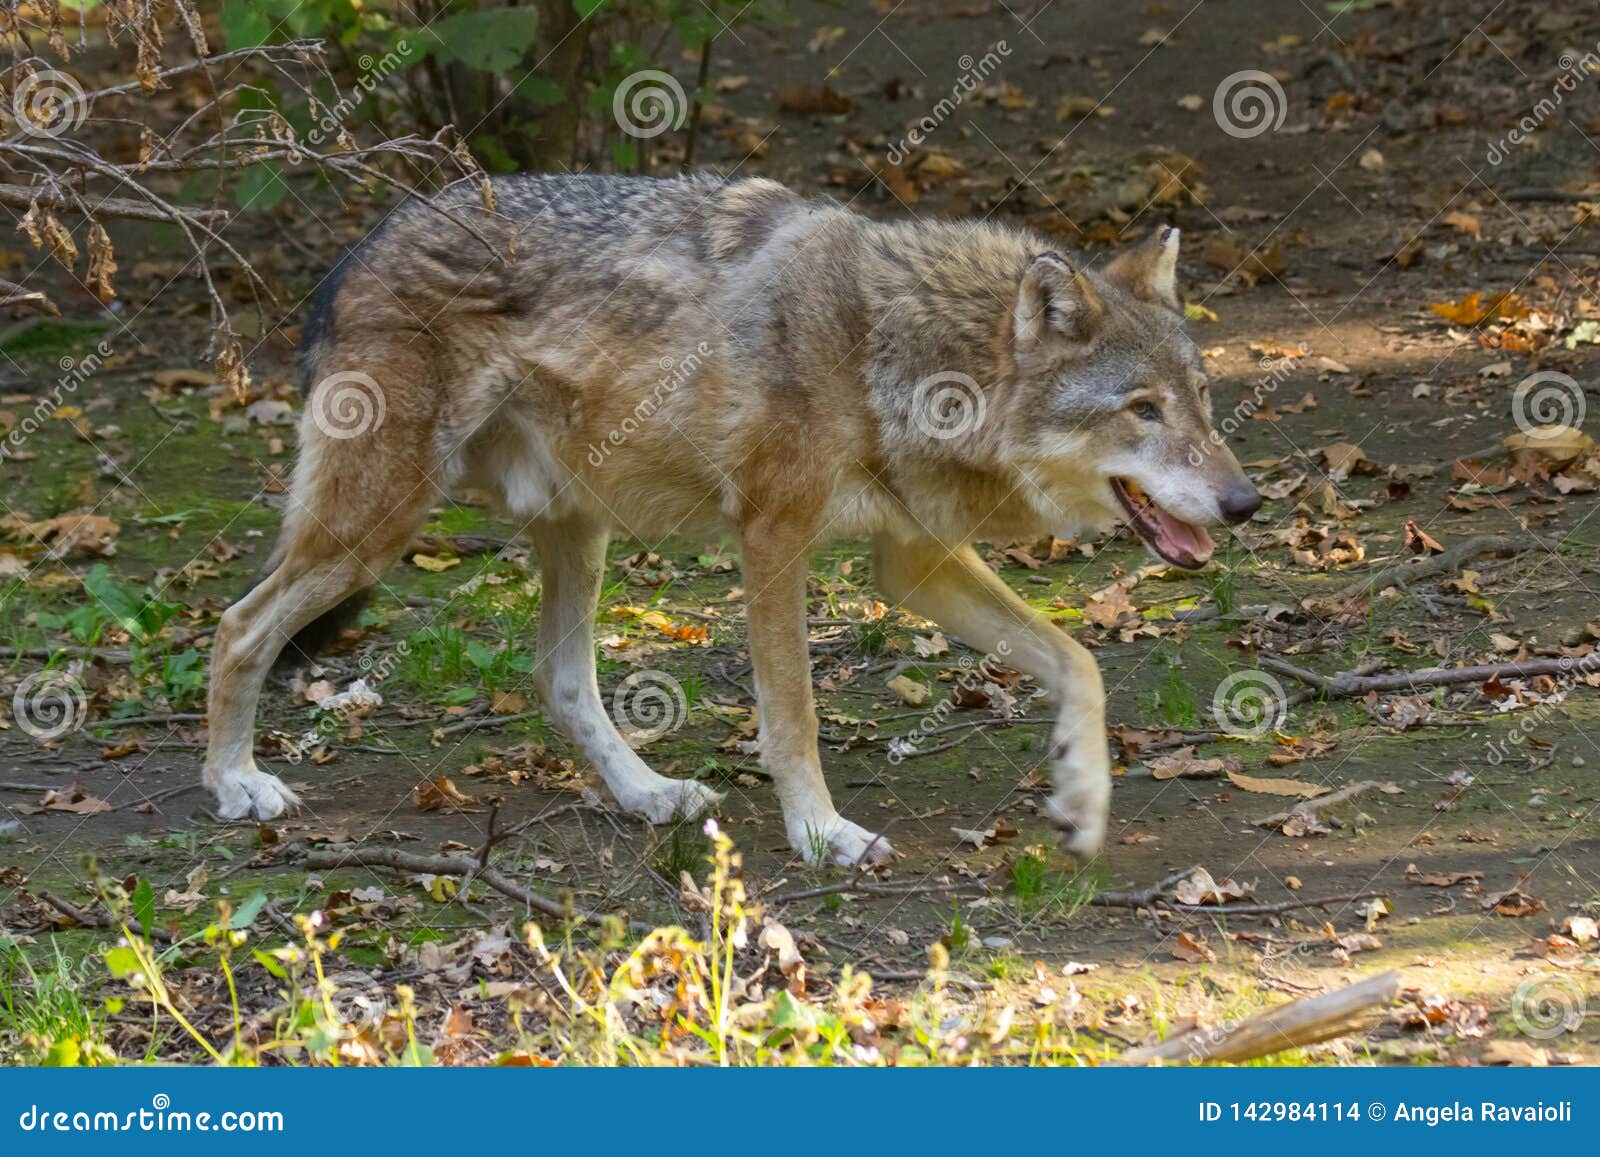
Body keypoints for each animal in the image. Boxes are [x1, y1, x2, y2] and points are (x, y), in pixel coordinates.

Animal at [203, 173, 1259, 866]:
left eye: (1202, 400)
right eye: (1142, 410)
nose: (1245, 502)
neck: (898, 351)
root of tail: (357, 248)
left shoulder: (909, 561)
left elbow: (1079, 662)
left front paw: (1083, 800)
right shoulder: (774, 538)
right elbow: (793, 714)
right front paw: (823, 833)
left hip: (577, 530)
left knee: (561, 680)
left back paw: (648, 795)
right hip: (378, 526)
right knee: (234, 626)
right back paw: (234, 783)